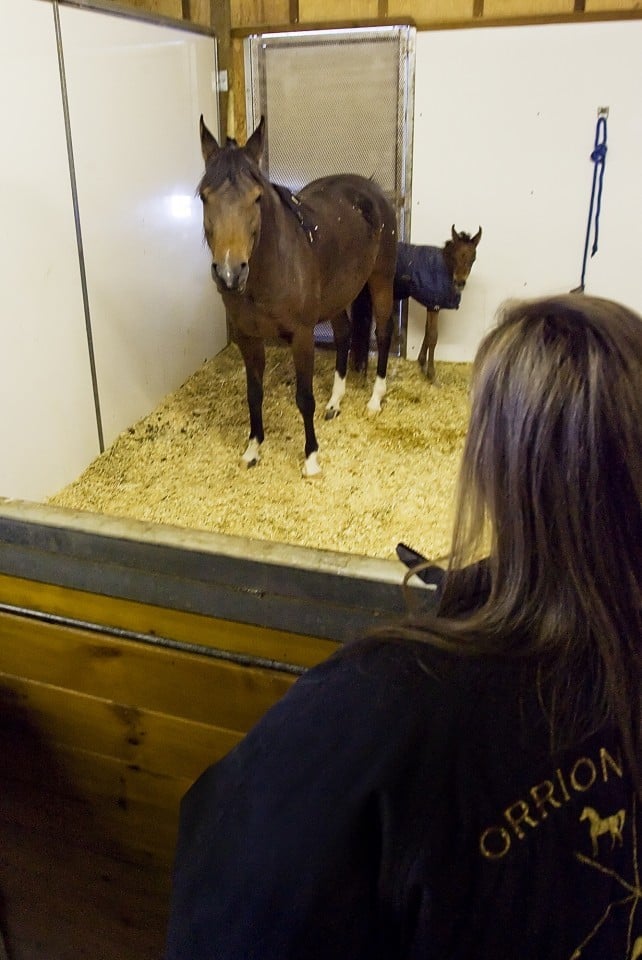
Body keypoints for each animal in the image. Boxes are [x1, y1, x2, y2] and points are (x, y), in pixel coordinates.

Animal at [197, 116, 398, 477]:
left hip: (381, 281)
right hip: (336, 297)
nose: (230, 273)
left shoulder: (302, 336)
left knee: (385, 332)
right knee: (344, 334)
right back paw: (335, 402)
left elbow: (304, 398)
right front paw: (253, 449)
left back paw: (375, 399)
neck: (269, 271)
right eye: (205, 197)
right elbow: (253, 393)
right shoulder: (249, 338)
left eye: (256, 197)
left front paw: (311, 459)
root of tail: (372, 189)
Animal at [351, 226, 482, 384]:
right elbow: (433, 336)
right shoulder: (434, 305)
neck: (443, 267)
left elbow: (427, 331)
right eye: (454, 257)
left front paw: (422, 362)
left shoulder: (431, 304)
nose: (460, 282)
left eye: (473, 258)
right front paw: (431, 374)